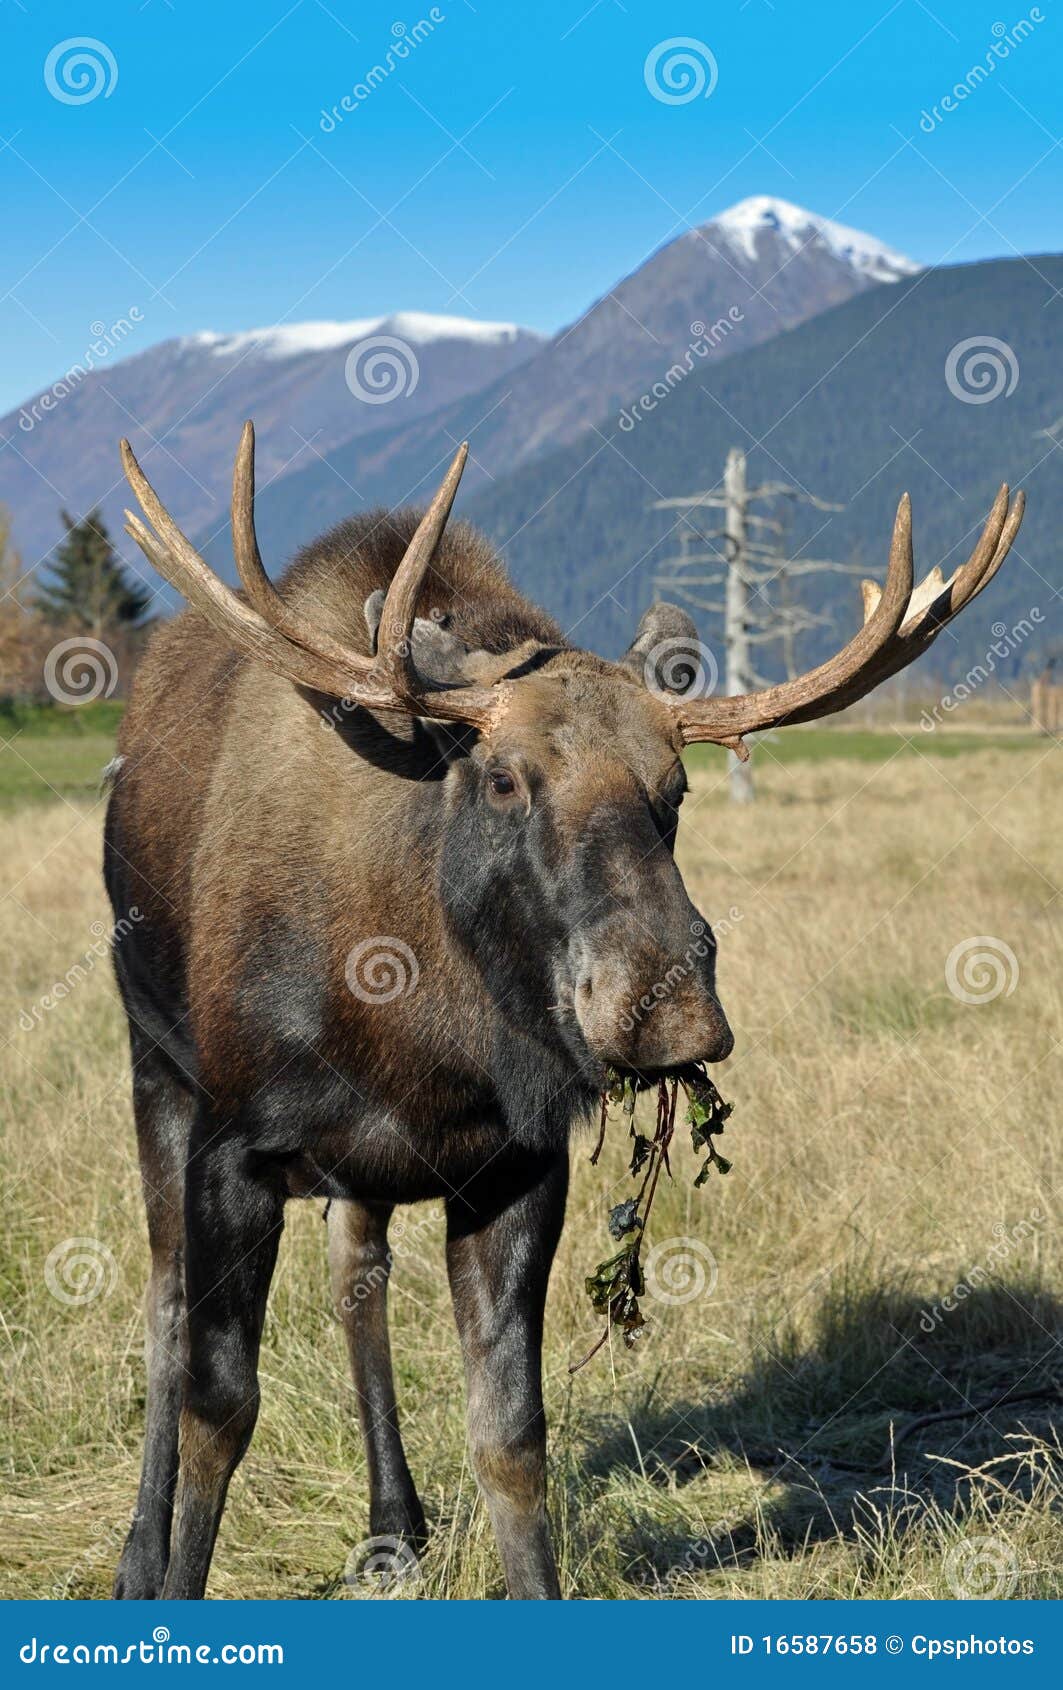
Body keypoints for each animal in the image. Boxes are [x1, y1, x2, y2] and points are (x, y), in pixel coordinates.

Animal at [103, 423, 1023, 1599]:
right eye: (502, 777)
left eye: (674, 789)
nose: (669, 1004)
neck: (420, 1035)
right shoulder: (237, 1139)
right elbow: (219, 1405)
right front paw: (170, 1577)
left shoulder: (515, 1161)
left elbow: (509, 1433)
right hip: (153, 1062)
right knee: (164, 1306)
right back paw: (138, 1554)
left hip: (356, 1168)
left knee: (357, 1278)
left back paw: (394, 1521)